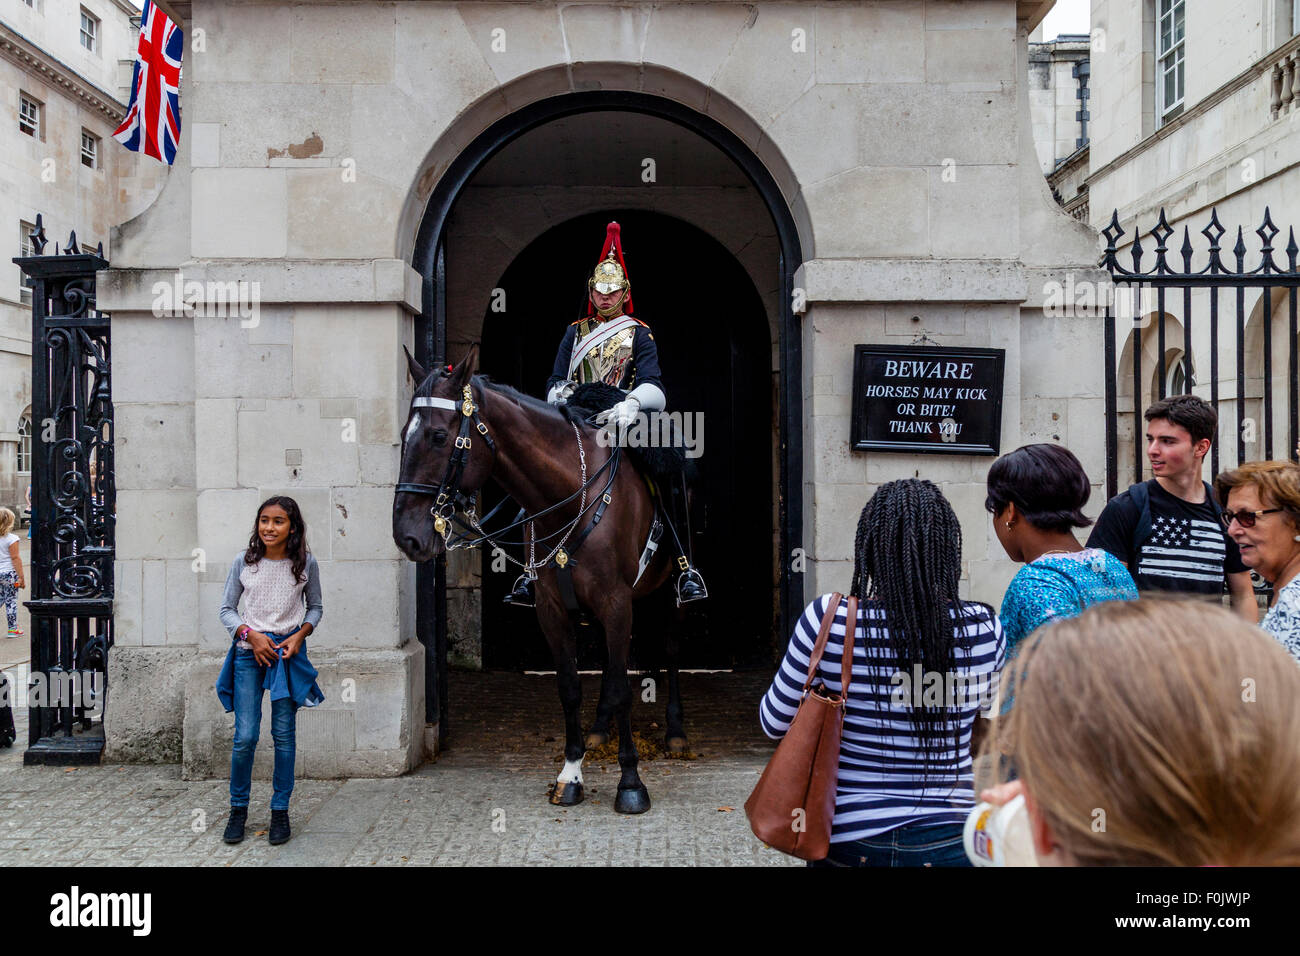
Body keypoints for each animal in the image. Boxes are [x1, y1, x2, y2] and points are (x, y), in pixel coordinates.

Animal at [391, 344, 689, 814]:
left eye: (439, 436)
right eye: (405, 432)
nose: (407, 536)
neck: (567, 497)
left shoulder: (616, 602)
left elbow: (623, 687)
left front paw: (630, 781)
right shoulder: (552, 608)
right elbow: (570, 686)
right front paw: (571, 775)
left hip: (670, 593)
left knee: (673, 648)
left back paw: (675, 732)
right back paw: (599, 727)